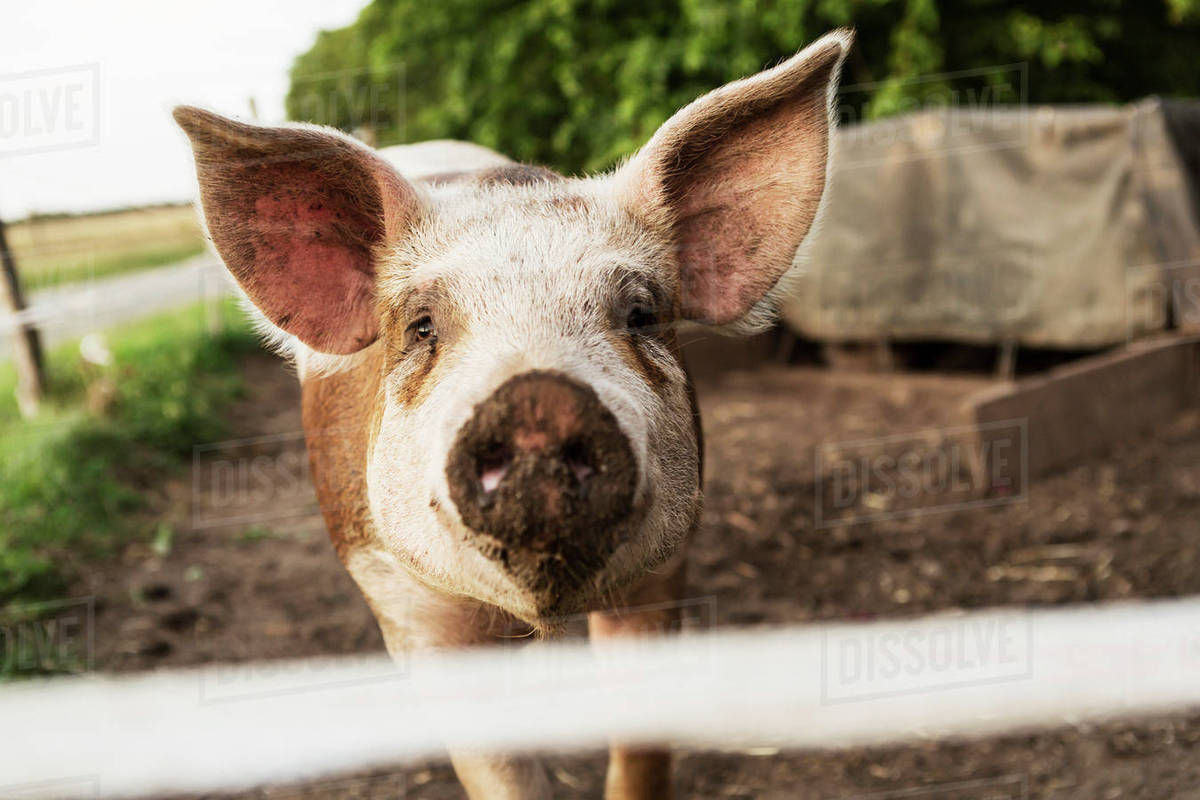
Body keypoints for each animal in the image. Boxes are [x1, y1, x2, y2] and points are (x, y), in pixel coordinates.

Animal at [174, 28, 850, 800]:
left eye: (641, 314)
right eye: (422, 327)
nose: (540, 400)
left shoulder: (663, 570)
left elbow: (642, 743)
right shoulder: (404, 601)